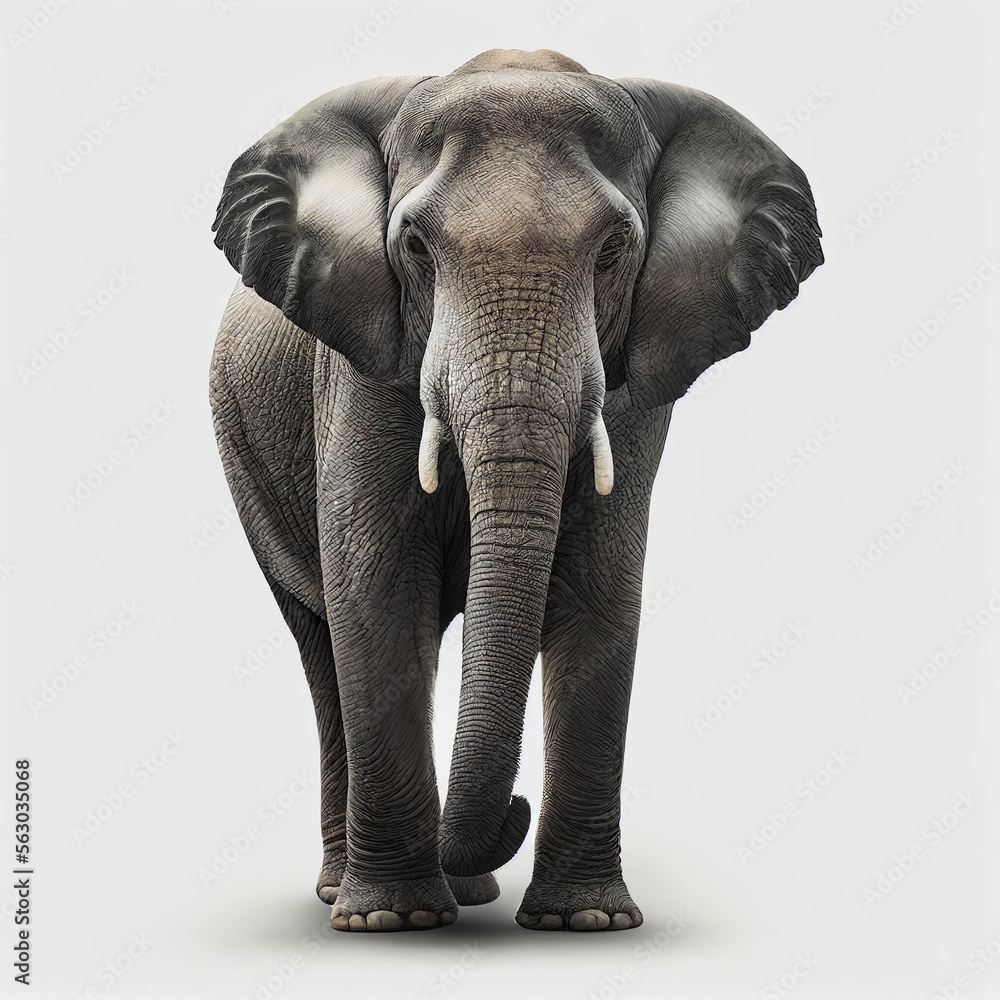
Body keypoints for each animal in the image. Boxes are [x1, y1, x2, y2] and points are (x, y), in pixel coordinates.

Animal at [209, 47, 822, 933]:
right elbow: (377, 588)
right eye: (415, 246)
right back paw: (347, 897)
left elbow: (599, 585)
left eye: (614, 249)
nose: (517, 810)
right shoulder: (360, 365)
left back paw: (461, 893)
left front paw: (585, 923)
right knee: (321, 641)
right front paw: (393, 924)